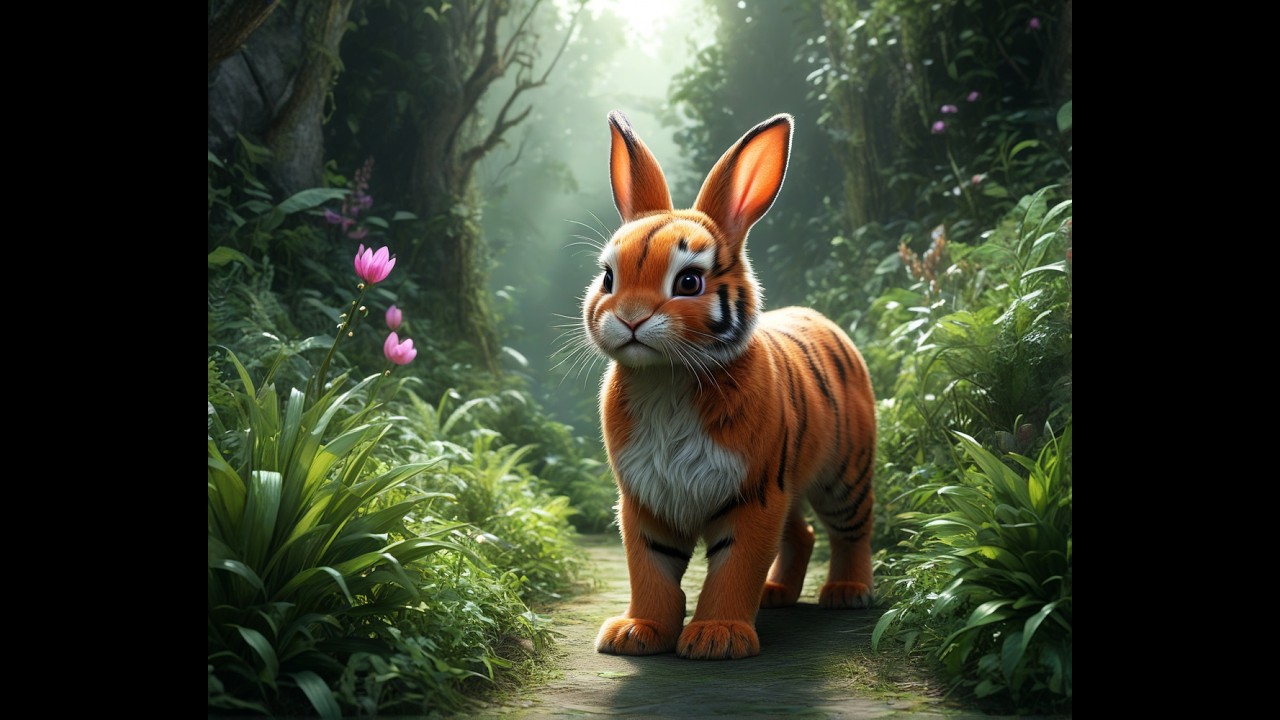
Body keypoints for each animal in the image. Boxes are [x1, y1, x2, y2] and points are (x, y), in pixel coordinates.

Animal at [582, 110, 877, 660]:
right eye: (609, 279)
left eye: (689, 282)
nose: (629, 317)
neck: (668, 379)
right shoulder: (644, 498)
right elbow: (648, 570)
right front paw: (636, 631)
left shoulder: (755, 494)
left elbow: (733, 570)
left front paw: (718, 636)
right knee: (803, 534)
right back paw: (777, 594)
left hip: (845, 473)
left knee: (851, 530)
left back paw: (848, 592)